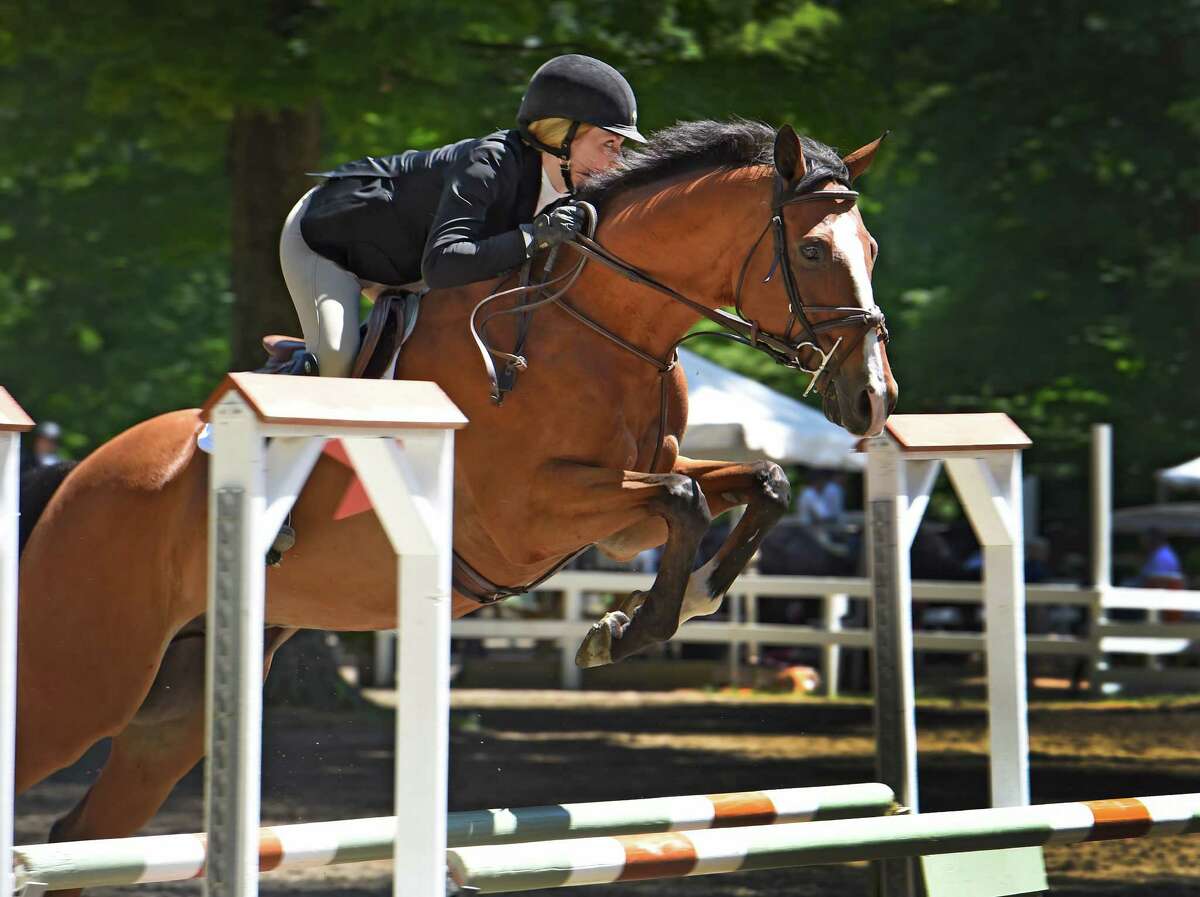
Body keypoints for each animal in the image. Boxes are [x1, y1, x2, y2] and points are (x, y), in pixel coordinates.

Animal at [15, 120, 897, 877]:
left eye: (873, 248)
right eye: (813, 249)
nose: (874, 401)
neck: (595, 329)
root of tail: (77, 478)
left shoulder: (621, 514)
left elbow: (759, 486)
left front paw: (677, 605)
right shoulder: (530, 514)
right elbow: (684, 500)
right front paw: (622, 630)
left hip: (175, 704)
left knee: (81, 833)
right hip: (82, 682)